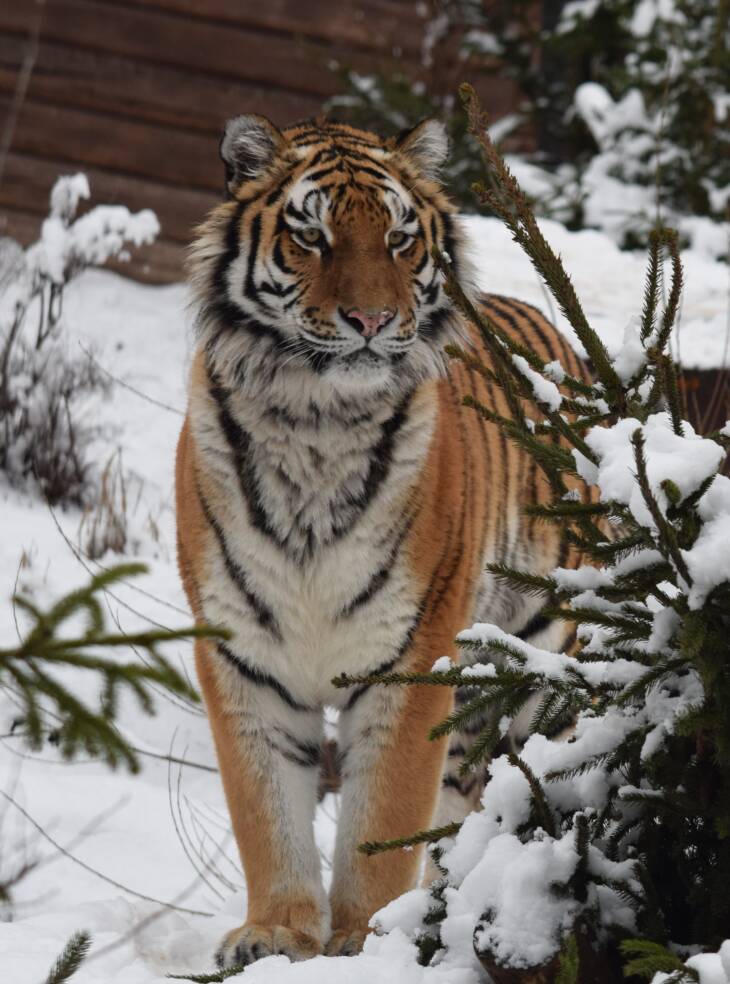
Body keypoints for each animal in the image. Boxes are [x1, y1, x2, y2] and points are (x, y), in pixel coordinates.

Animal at [175, 113, 586, 969]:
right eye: (312, 236)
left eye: (399, 239)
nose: (371, 323)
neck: (315, 421)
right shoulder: (243, 656)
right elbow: (268, 812)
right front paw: (278, 933)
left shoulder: (411, 653)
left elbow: (383, 820)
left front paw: (364, 940)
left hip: (544, 662)